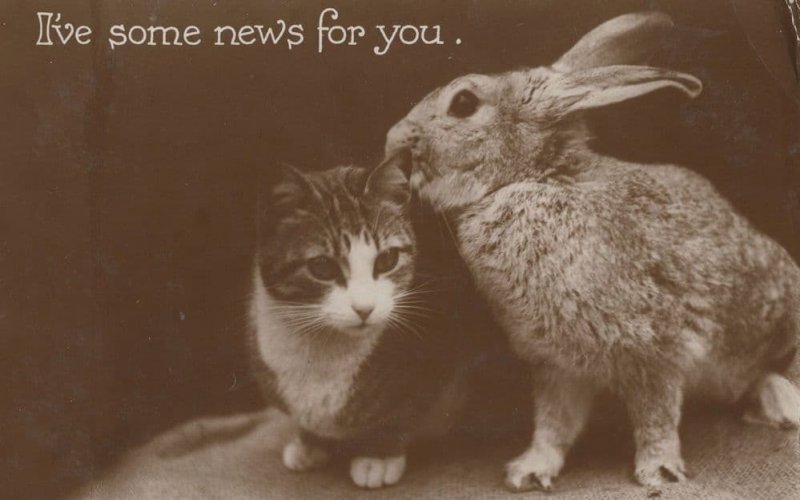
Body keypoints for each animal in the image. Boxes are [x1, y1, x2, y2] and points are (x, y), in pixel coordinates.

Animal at [383, 11, 800, 491]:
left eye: (464, 102)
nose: (392, 140)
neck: (534, 178)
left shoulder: (654, 351)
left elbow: (655, 417)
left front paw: (658, 472)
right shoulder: (557, 366)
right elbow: (553, 424)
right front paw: (529, 470)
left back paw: (781, 404)